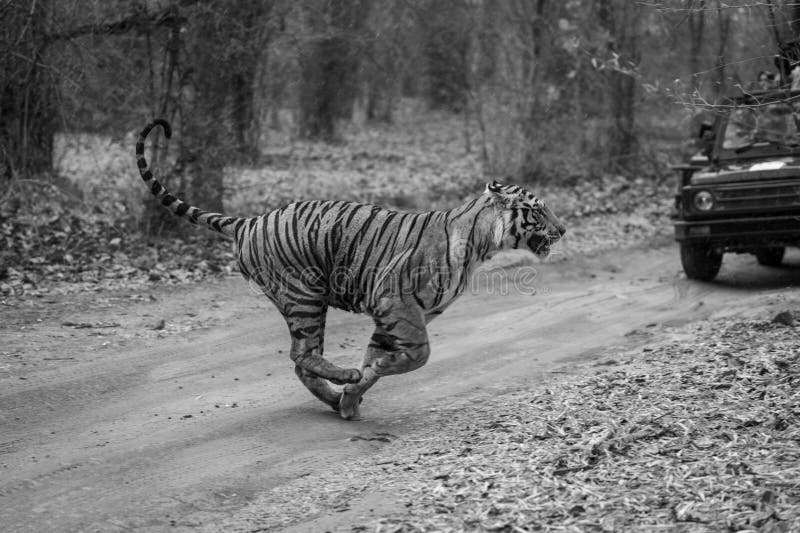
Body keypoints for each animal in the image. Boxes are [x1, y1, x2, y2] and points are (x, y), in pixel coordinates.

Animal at [135, 119, 566, 420]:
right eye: (538, 210)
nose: (563, 229)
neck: (482, 244)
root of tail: (251, 221)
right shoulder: (397, 301)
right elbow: (418, 354)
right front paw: (361, 381)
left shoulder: (398, 313)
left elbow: (379, 358)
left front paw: (353, 398)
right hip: (304, 295)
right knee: (300, 354)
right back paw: (341, 378)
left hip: (304, 301)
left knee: (301, 360)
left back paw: (333, 396)